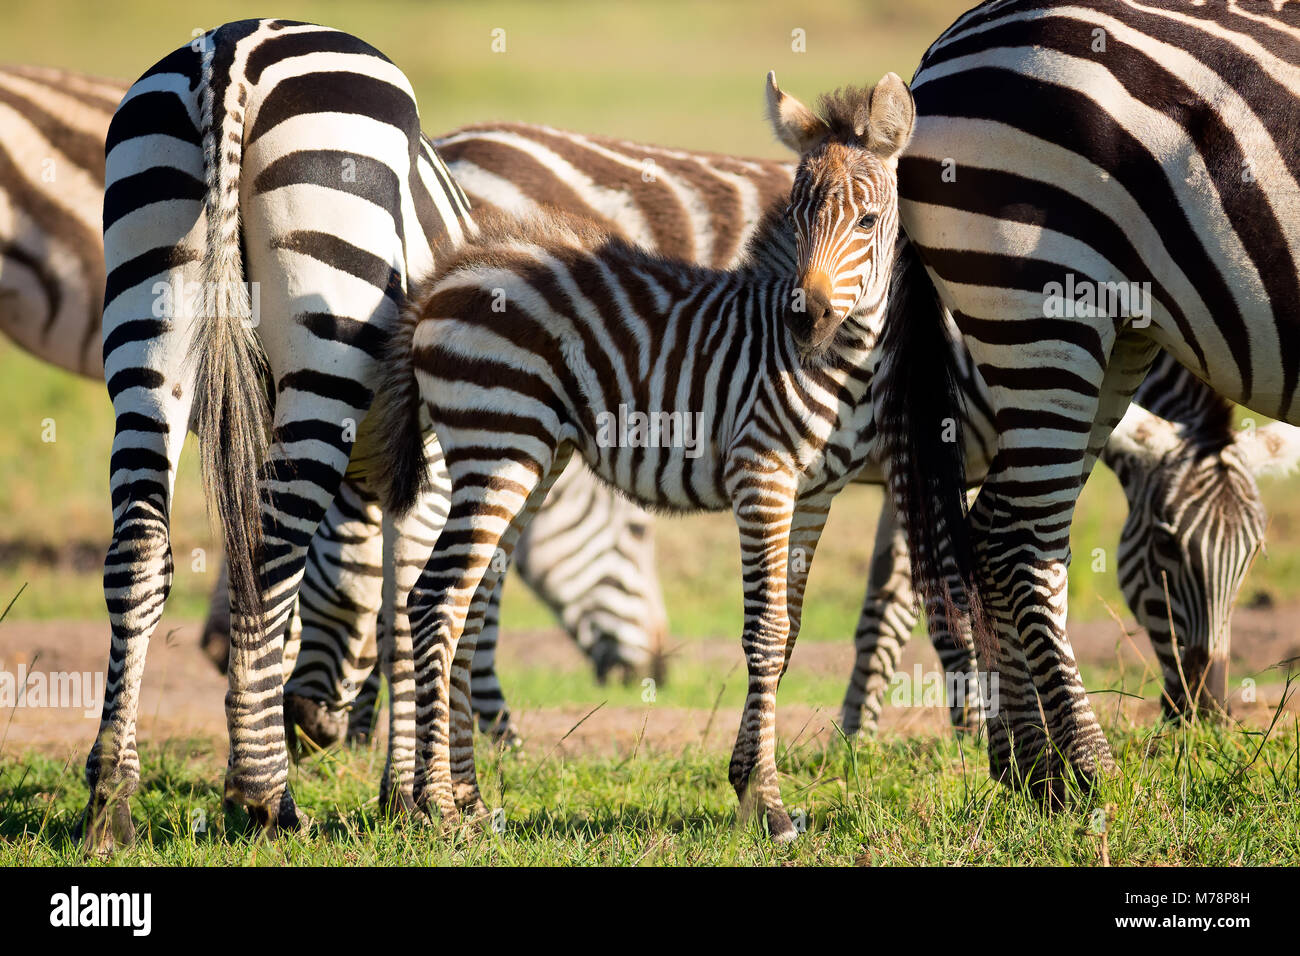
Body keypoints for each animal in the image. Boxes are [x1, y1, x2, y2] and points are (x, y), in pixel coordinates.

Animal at [369, 71, 918, 840]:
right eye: (798, 217)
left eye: (867, 223)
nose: (804, 318)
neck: (839, 363)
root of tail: (446, 278)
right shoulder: (762, 474)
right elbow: (765, 629)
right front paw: (768, 804)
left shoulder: (816, 493)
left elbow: (790, 632)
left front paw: (749, 785)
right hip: (494, 445)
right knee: (434, 600)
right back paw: (439, 808)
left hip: (529, 458)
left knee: (468, 605)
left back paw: (473, 802)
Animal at [876, 0, 1300, 797]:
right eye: (1164, 546)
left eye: (1255, 553)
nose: (1206, 713)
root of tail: (942, 43)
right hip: (1040, 297)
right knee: (1016, 538)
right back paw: (1087, 772)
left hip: (1114, 335)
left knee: (1001, 533)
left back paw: (1031, 773)